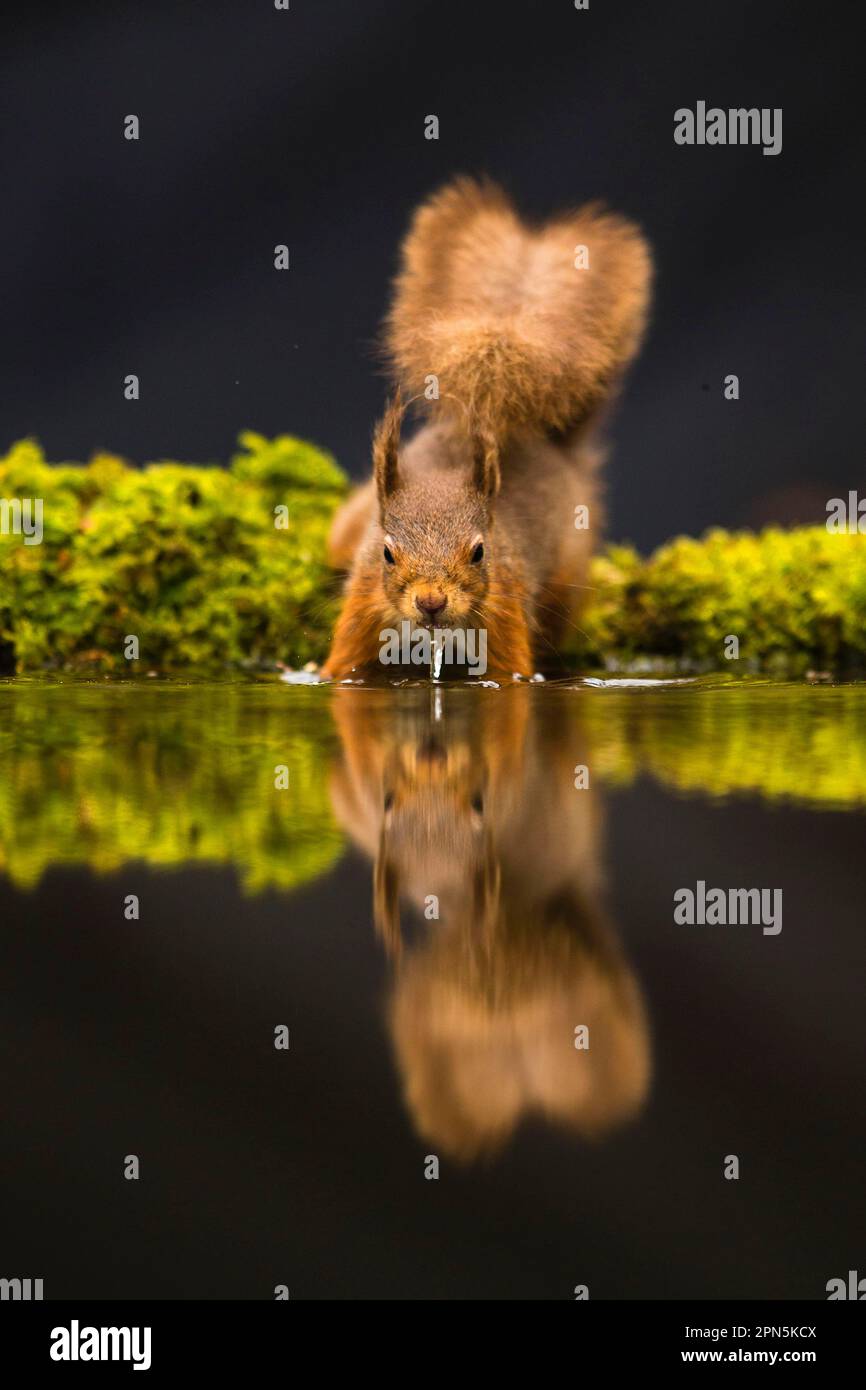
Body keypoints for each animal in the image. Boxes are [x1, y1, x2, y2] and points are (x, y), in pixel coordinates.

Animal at [321, 176, 652, 681]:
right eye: (387, 553)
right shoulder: (362, 603)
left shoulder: (505, 613)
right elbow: (340, 669)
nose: (431, 602)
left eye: (479, 551)